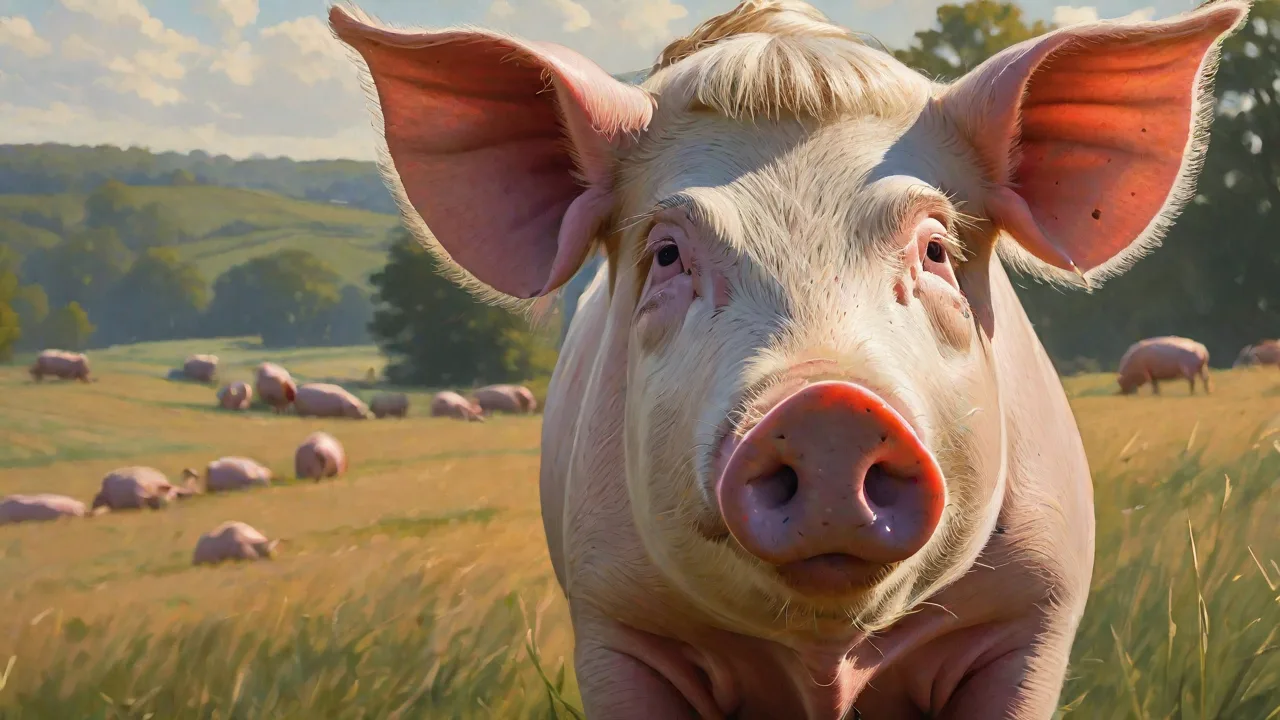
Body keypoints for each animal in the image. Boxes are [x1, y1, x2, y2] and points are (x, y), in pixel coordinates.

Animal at [332, 1, 1247, 716]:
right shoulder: (613, 618)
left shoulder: (1036, 607)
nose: (826, 406)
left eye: (937, 249)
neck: (824, 656)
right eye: (667, 255)